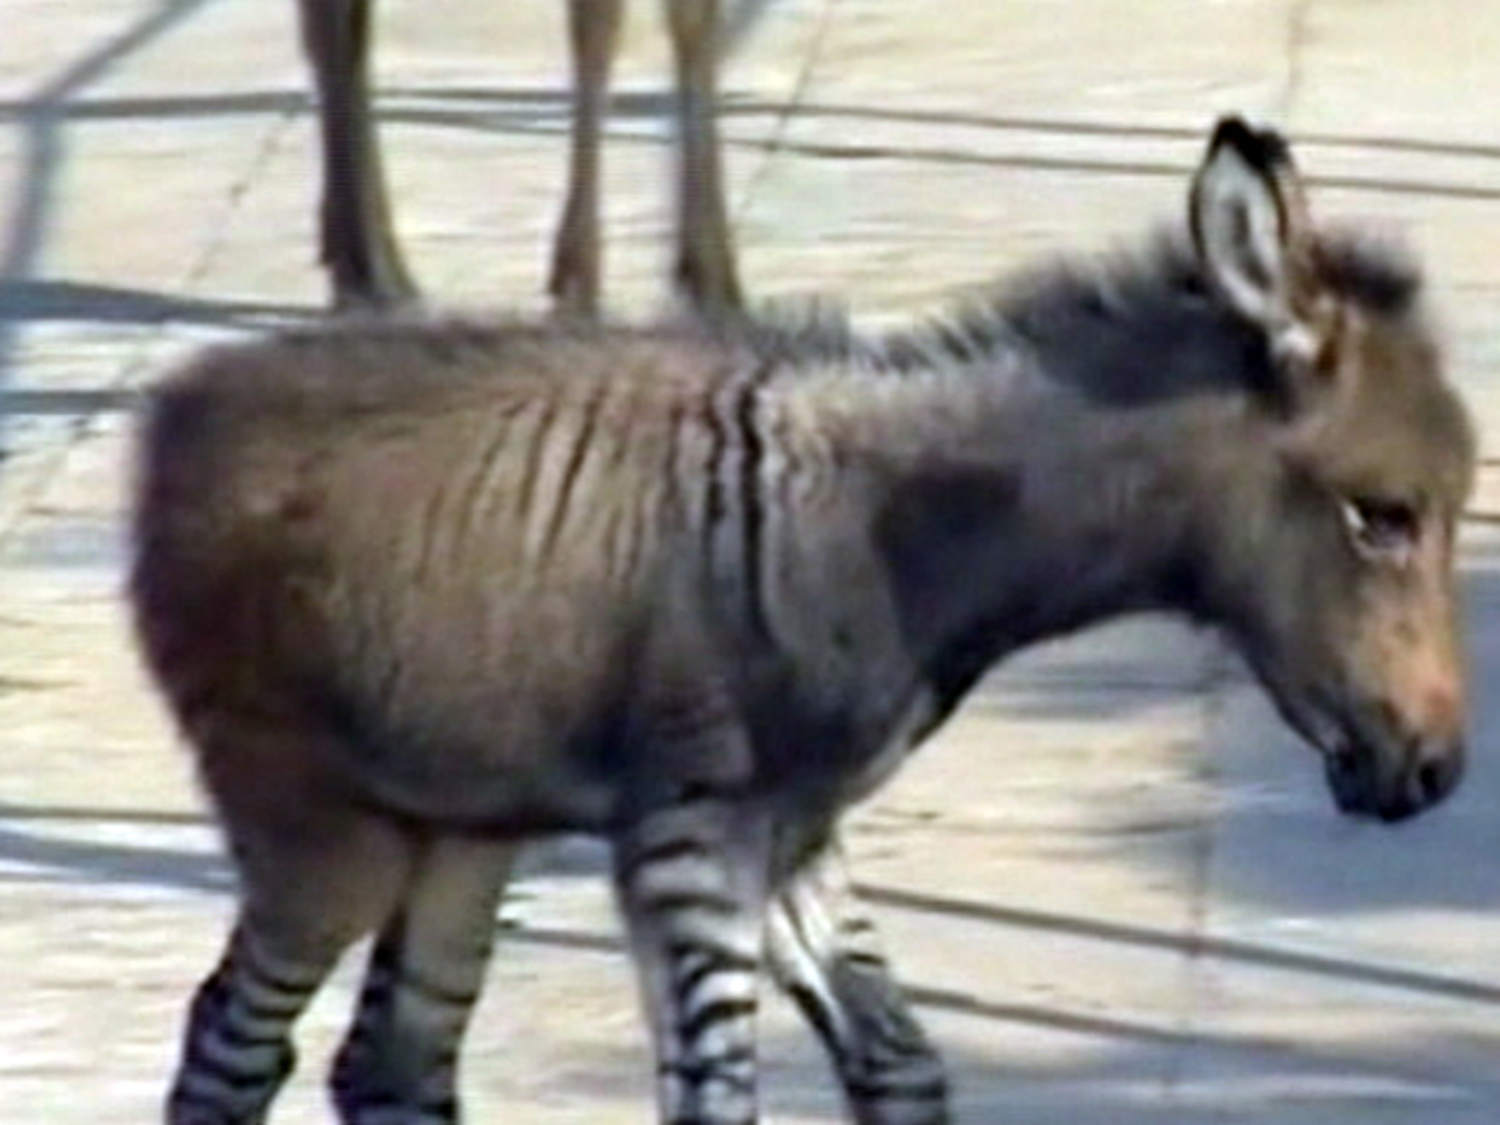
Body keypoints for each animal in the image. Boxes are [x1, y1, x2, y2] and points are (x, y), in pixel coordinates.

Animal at [132, 117, 1474, 1124]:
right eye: (1383, 517)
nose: (1436, 772)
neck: (892, 533)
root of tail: (184, 407)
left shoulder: (795, 832)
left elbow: (899, 1065)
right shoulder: (692, 836)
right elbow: (719, 1097)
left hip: (459, 827)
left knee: (390, 1067)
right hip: (322, 837)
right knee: (228, 1049)